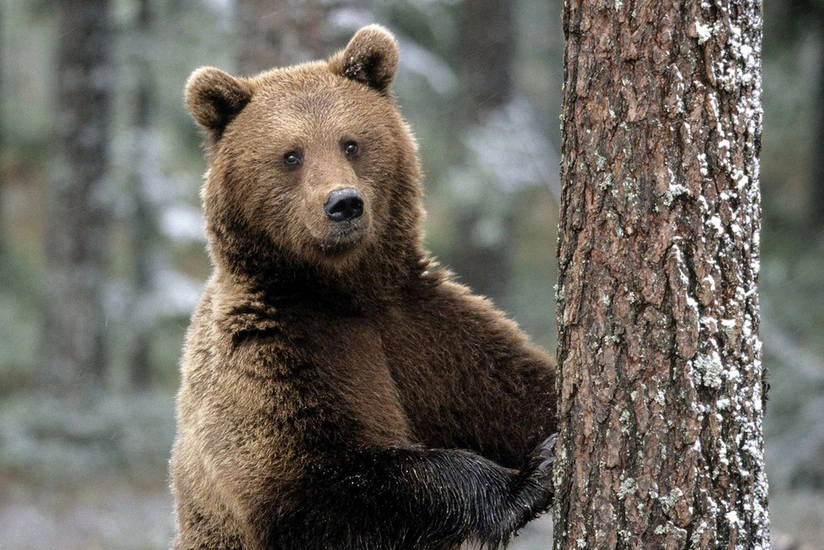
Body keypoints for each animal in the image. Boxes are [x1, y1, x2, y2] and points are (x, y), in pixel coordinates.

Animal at [170, 25, 558, 550]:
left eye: (351, 143)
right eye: (291, 155)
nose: (344, 204)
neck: (343, 290)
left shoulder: (427, 331)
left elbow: (517, 390)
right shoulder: (273, 354)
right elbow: (324, 485)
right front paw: (529, 477)